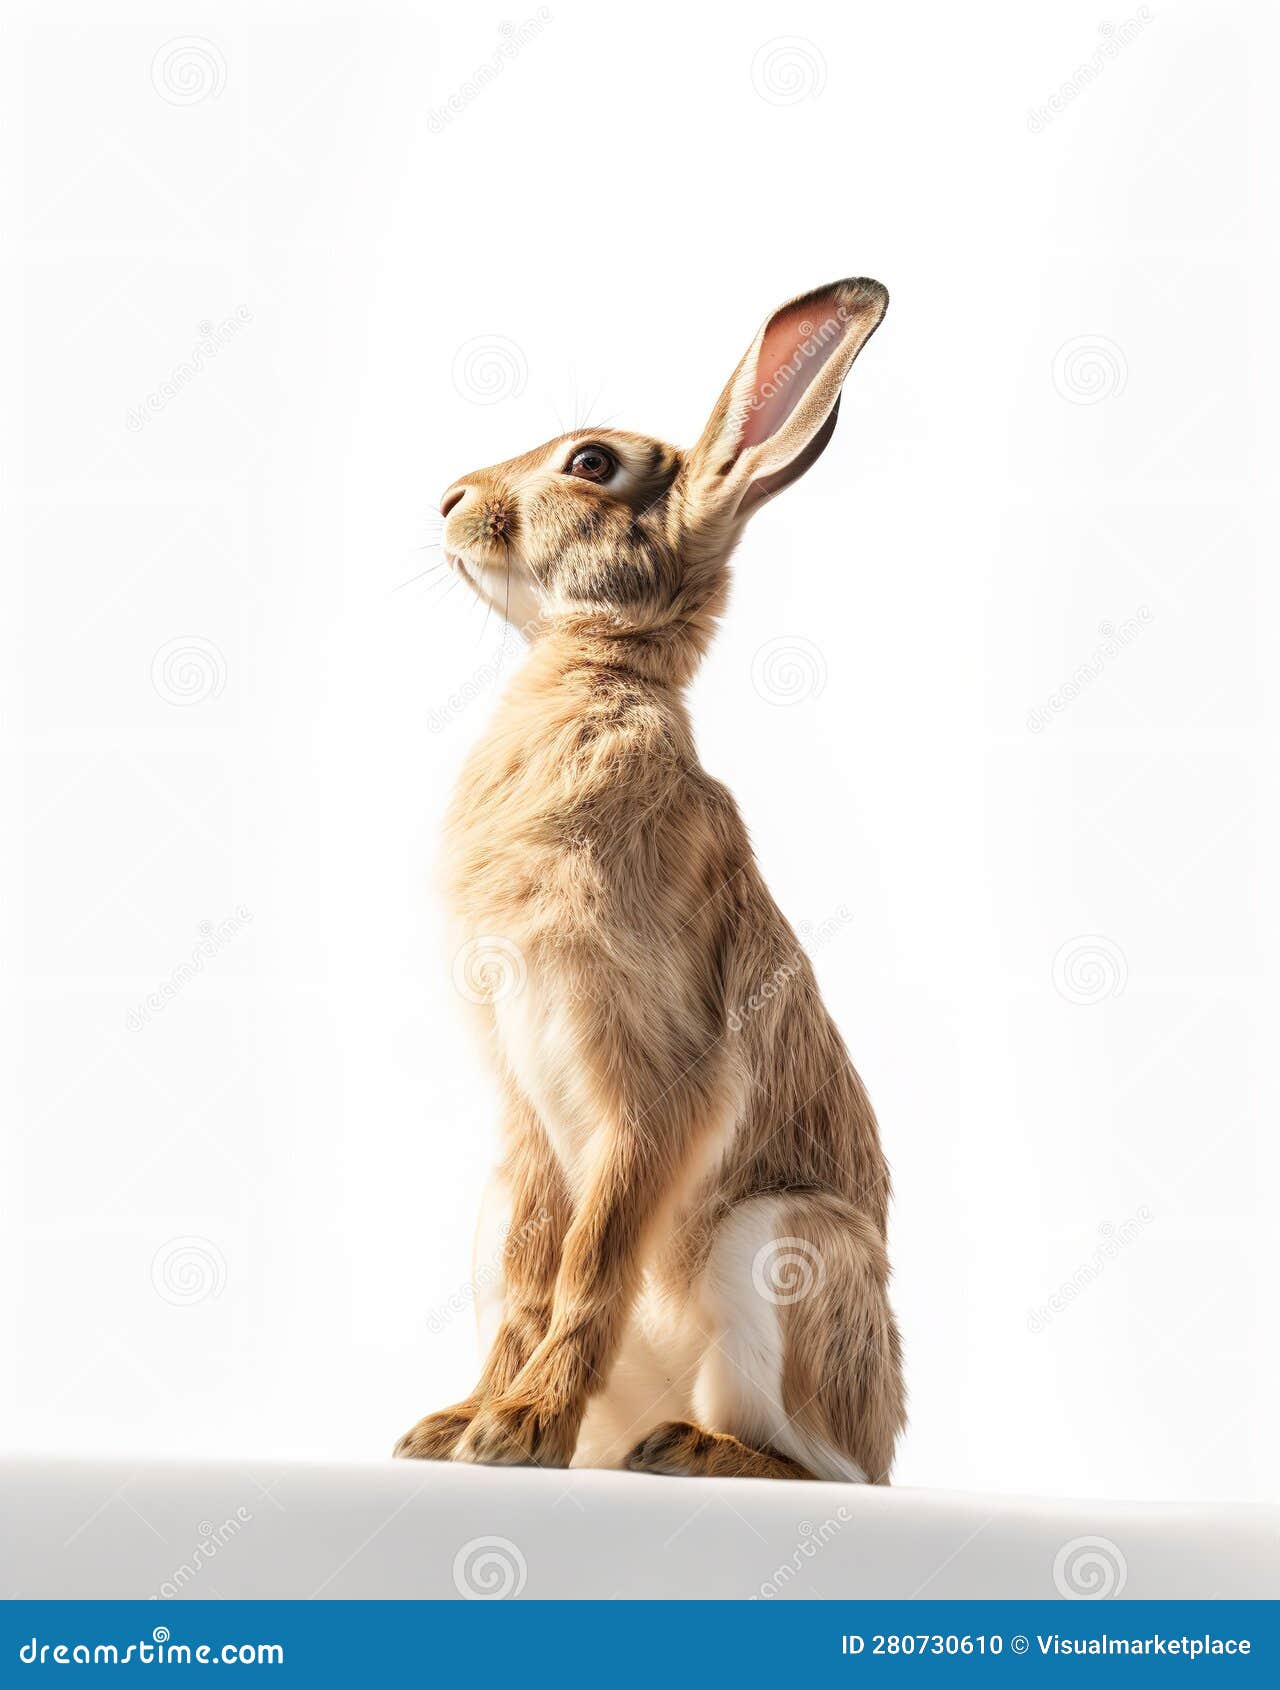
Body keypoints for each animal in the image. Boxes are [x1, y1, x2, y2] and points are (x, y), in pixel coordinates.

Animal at [394, 278, 906, 1481]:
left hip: (784, 1248)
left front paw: (519, 1433)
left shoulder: (657, 1074)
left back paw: (685, 1449)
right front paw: (472, 1429)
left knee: (823, 1467)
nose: (448, 500)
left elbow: (595, 1259)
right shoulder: (524, 1107)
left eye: (591, 462)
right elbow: (537, 1271)